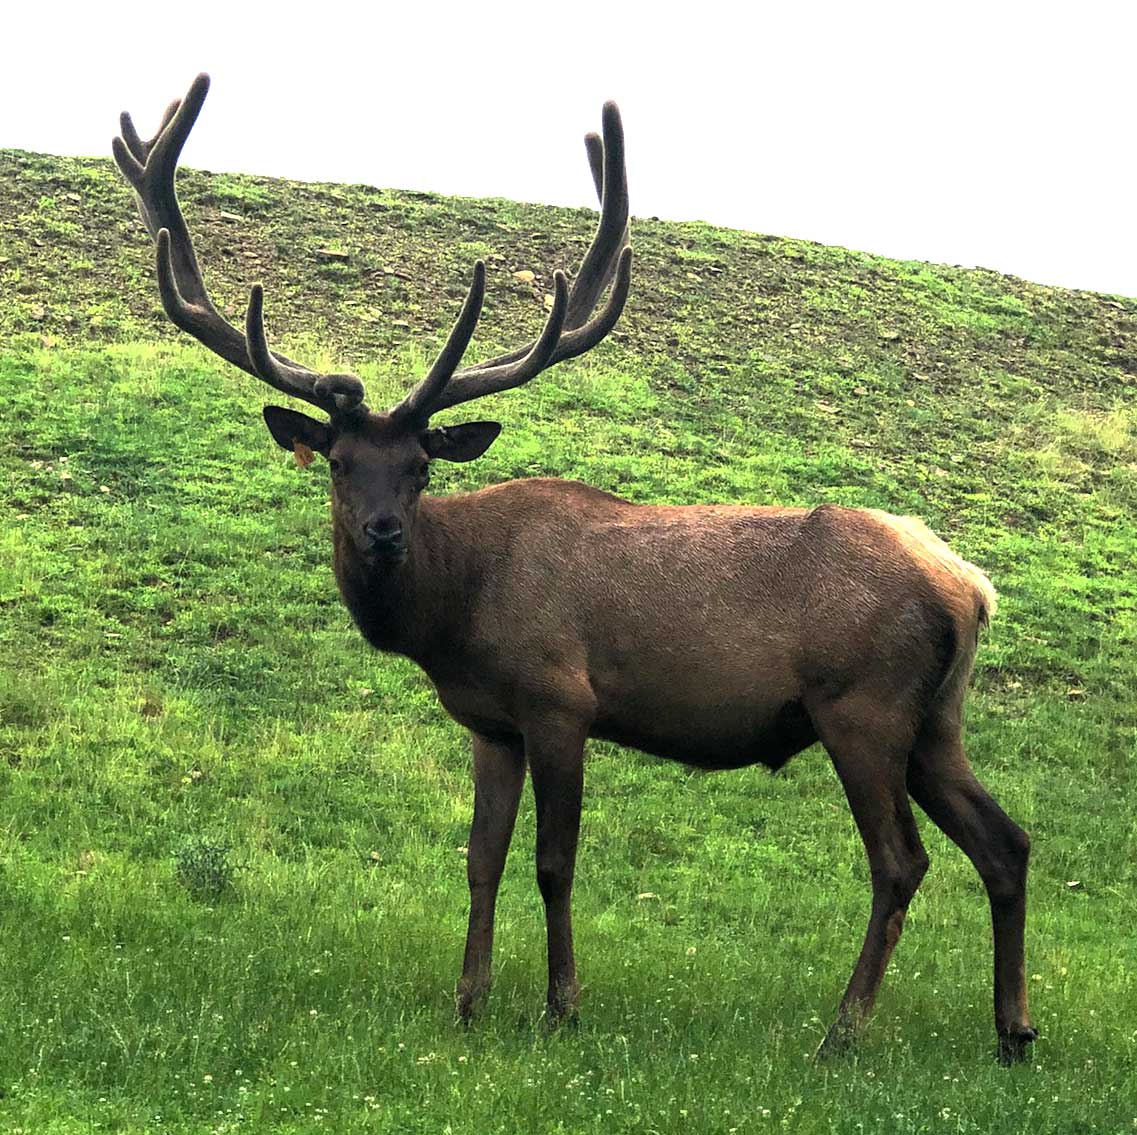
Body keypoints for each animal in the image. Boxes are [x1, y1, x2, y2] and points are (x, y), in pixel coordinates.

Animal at [112, 73, 1037, 1064]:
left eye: (422, 466)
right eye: (339, 464)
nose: (383, 533)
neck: (456, 614)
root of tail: (970, 587)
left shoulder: (560, 701)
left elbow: (553, 860)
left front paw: (560, 1005)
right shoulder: (490, 722)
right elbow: (480, 857)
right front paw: (468, 999)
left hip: (861, 704)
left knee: (900, 860)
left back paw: (842, 1029)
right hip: (934, 720)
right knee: (1006, 842)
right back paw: (1011, 1030)